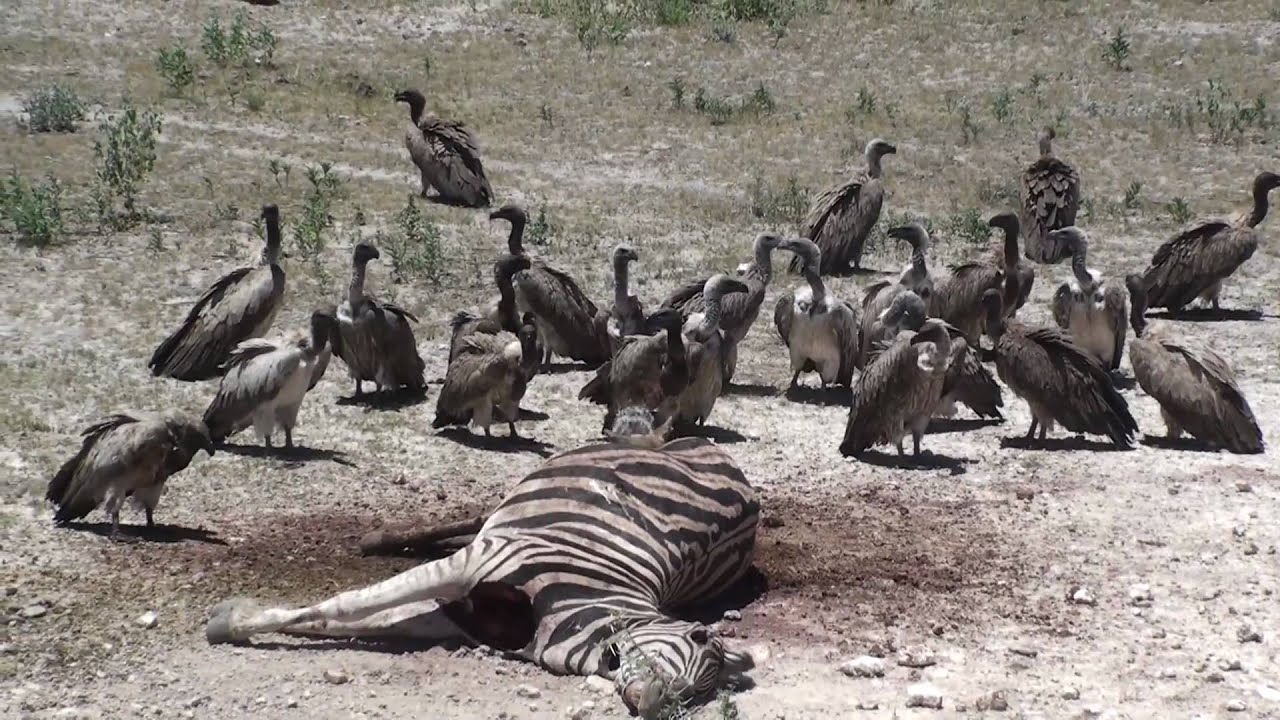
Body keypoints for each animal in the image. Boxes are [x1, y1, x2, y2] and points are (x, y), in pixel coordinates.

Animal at [204, 407, 764, 717]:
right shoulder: (476, 561)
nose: (655, 706)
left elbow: (354, 621)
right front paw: (233, 621)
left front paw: (242, 621)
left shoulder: (455, 616)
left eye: (699, 695)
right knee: (472, 518)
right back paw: (379, 539)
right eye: (697, 640)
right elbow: (344, 605)